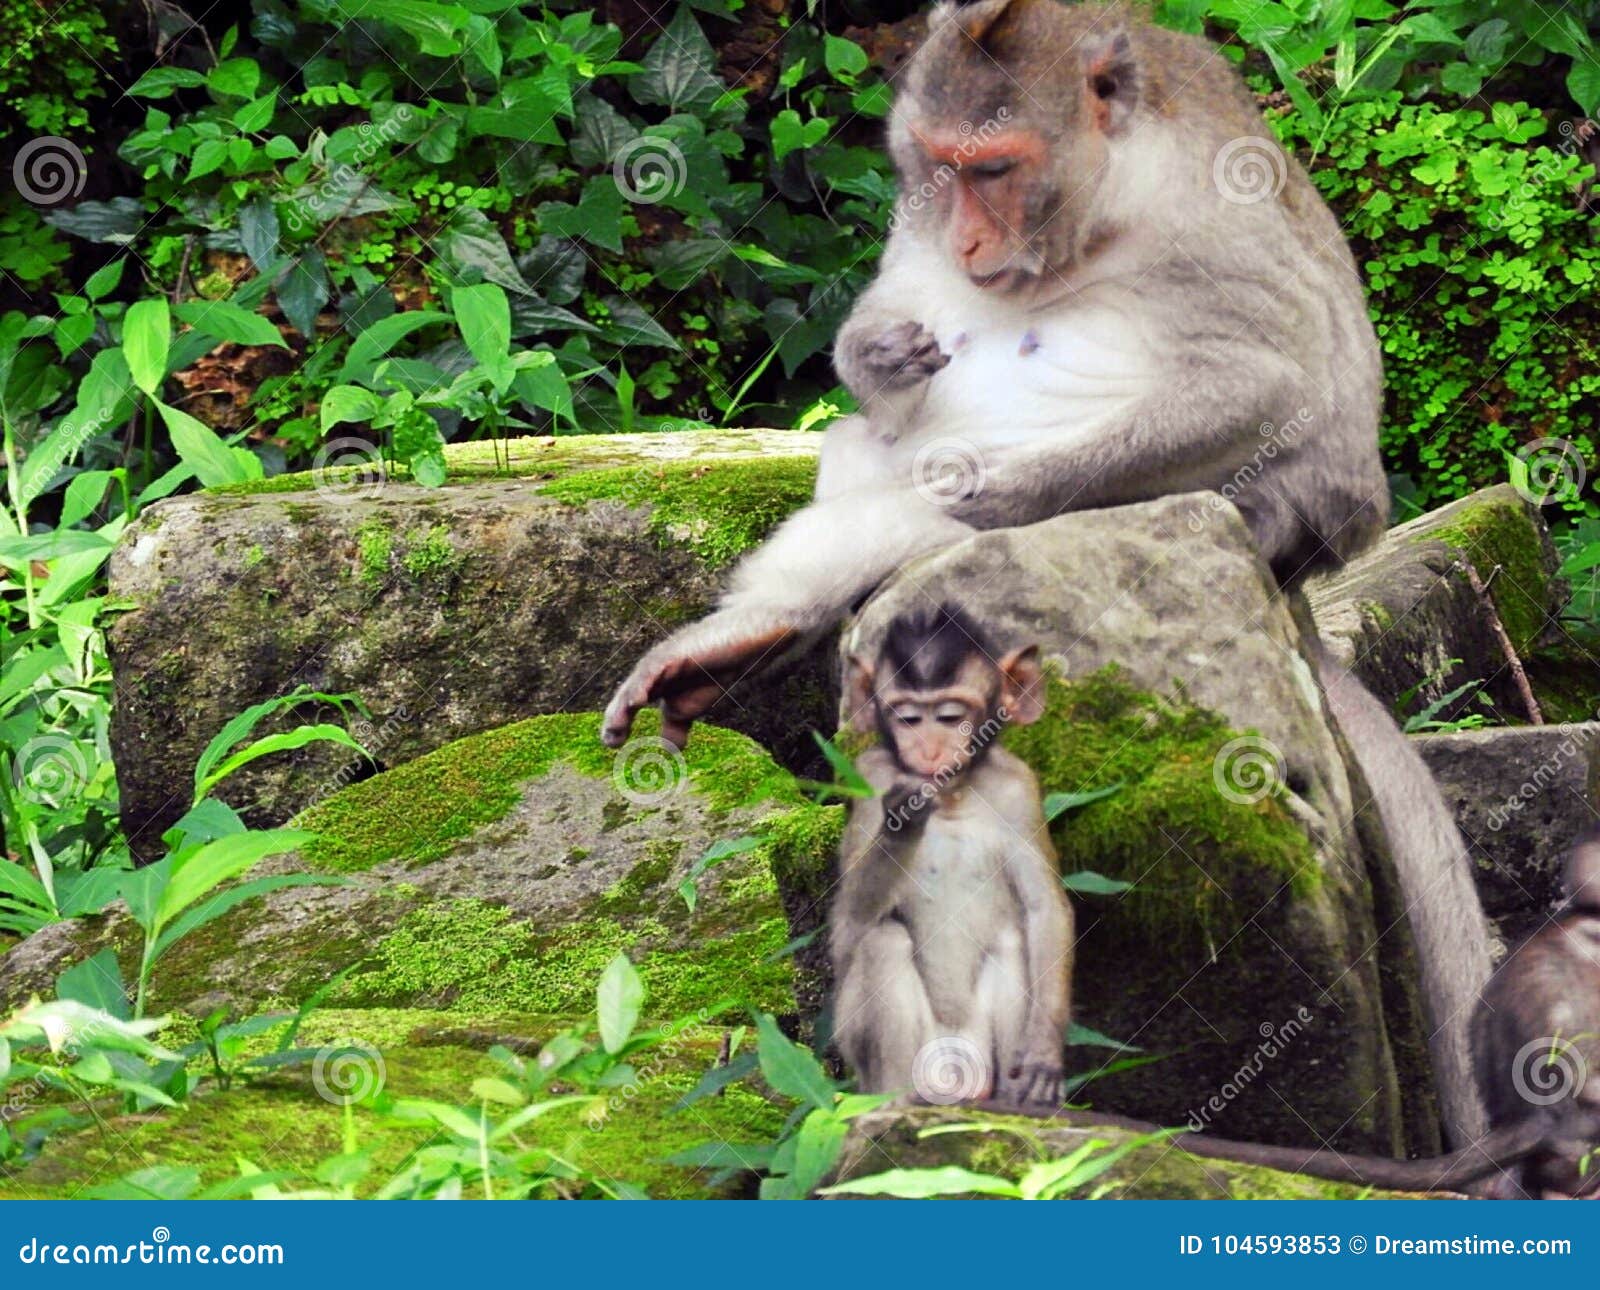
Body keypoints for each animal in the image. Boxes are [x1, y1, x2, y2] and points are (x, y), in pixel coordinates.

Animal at [830, 604, 1074, 1110]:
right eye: (907, 718)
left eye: (949, 716)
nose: (929, 749)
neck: (952, 795)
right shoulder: (869, 778)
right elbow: (849, 925)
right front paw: (904, 818)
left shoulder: (1020, 788)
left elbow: (1044, 909)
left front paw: (1044, 1056)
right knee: (883, 940)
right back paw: (893, 1101)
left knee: (1014, 940)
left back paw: (1011, 1097)